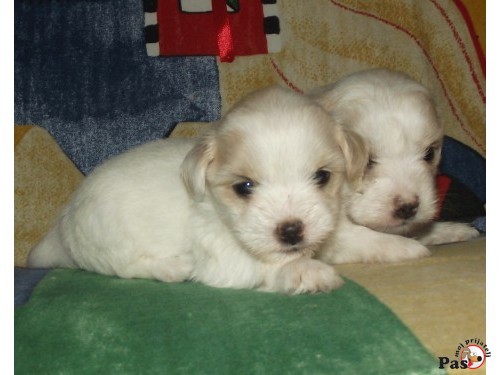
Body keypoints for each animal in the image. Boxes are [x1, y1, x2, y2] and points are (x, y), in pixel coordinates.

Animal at [27, 86, 366, 296]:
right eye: (244, 187)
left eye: (322, 177)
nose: (291, 230)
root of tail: (62, 223)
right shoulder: (221, 254)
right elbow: (264, 263)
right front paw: (307, 271)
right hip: (108, 238)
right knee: (125, 267)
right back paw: (173, 267)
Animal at [312, 68, 480, 264]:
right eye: (366, 160)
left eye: (430, 154)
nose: (408, 207)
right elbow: (353, 236)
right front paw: (405, 246)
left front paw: (449, 230)